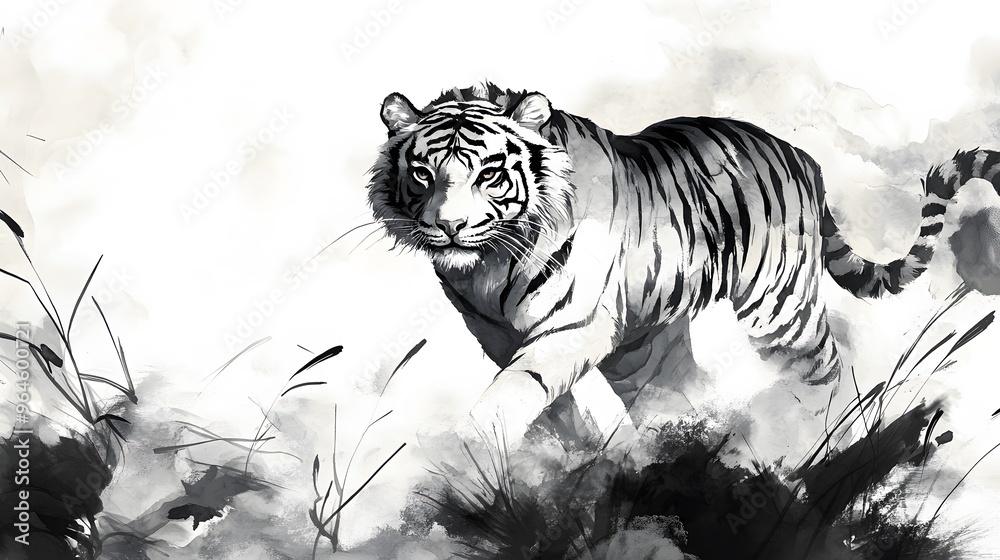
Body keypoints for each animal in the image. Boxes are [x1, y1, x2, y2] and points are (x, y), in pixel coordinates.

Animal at [367, 82, 1000, 443]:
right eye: (422, 173)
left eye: (488, 174)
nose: (449, 226)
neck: (490, 265)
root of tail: (803, 156)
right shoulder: (496, 332)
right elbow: (548, 401)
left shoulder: (575, 326)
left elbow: (518, 389)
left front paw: (476, 446)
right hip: (647, 342)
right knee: (677, 393)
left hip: (782, 312)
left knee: (825, 375)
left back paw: (813, 446)